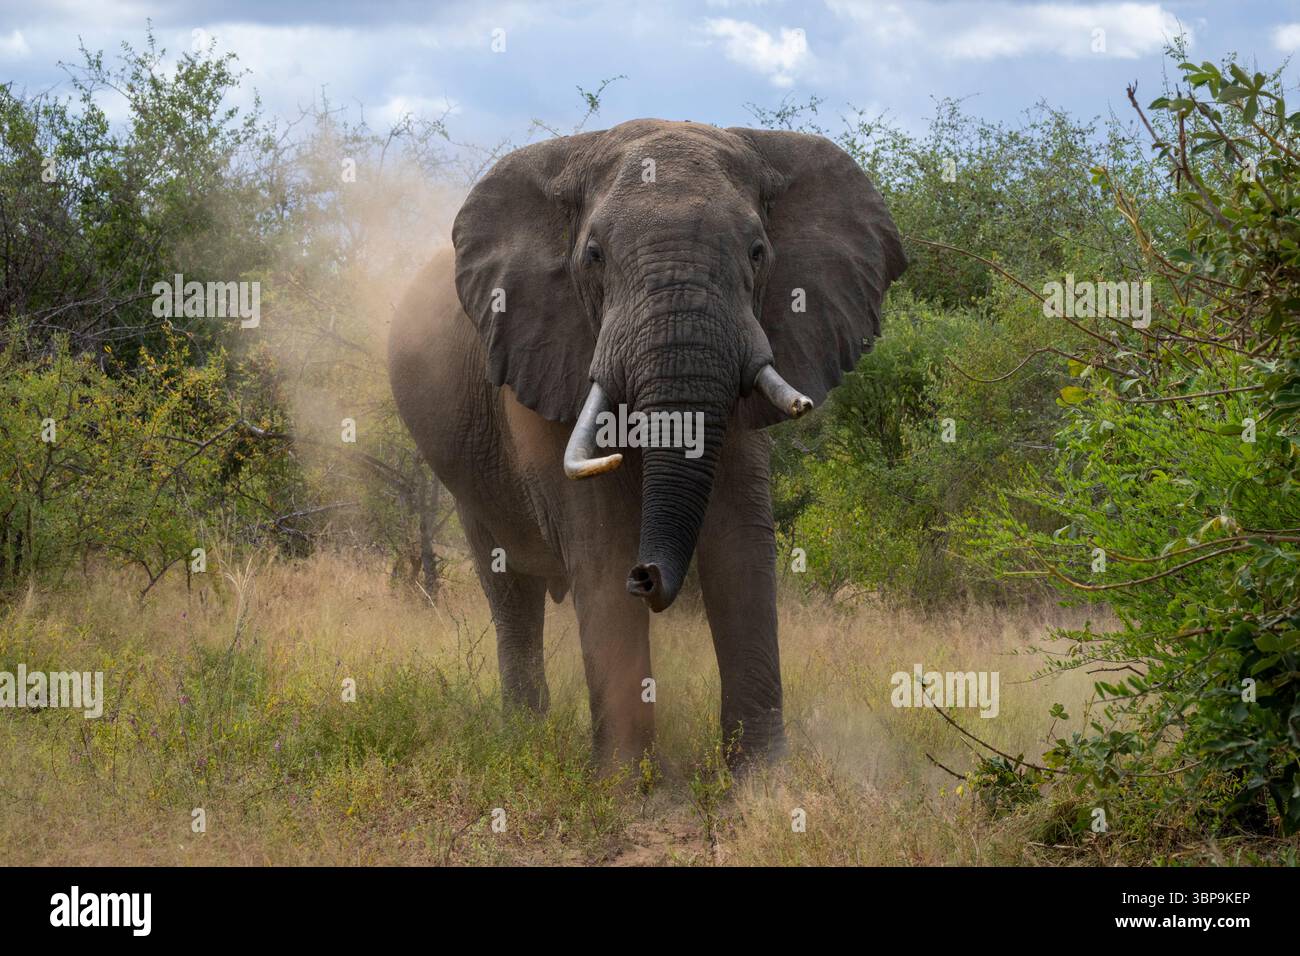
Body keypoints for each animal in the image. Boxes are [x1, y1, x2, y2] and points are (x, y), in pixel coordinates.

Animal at [388, 119, 905, 770]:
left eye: (758, 252)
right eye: (594, 256)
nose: (648, 576)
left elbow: (741, 543)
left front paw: (763, 779)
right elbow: (601, 544)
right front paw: (625, 781)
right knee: (509, 586)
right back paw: (524, 736)